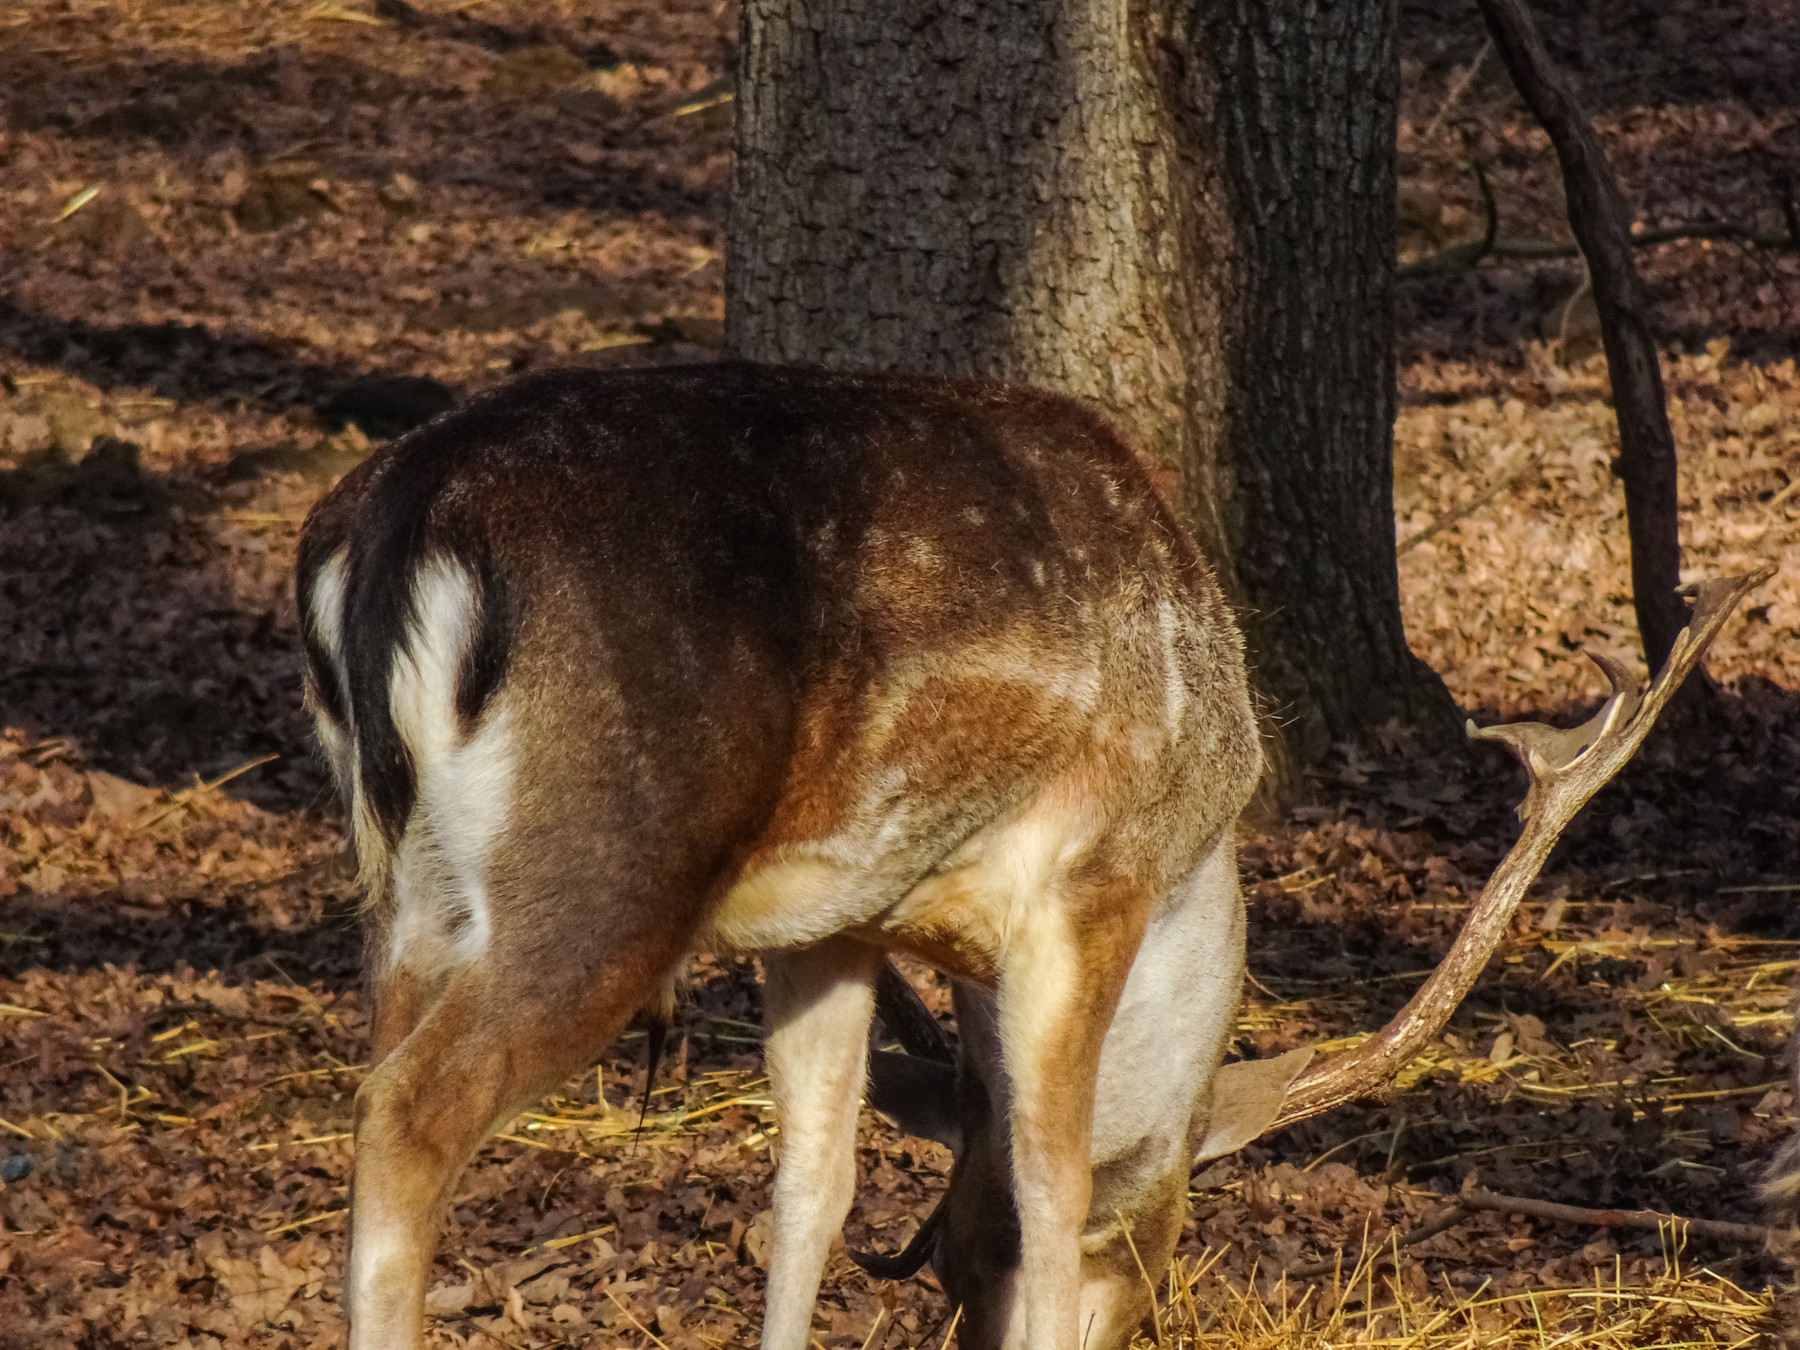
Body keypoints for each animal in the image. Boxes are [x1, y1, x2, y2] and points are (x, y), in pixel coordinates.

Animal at [296, 359, 1765, 1350]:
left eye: (944, 1260)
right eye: (1154, 1253)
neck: (1200, 865)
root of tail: (390, 526)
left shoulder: (832, 919)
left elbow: (812, 1183)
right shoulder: (1085, 885)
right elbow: (1054, 1181)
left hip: (407, 886)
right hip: (606, 865)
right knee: (404, 1111)